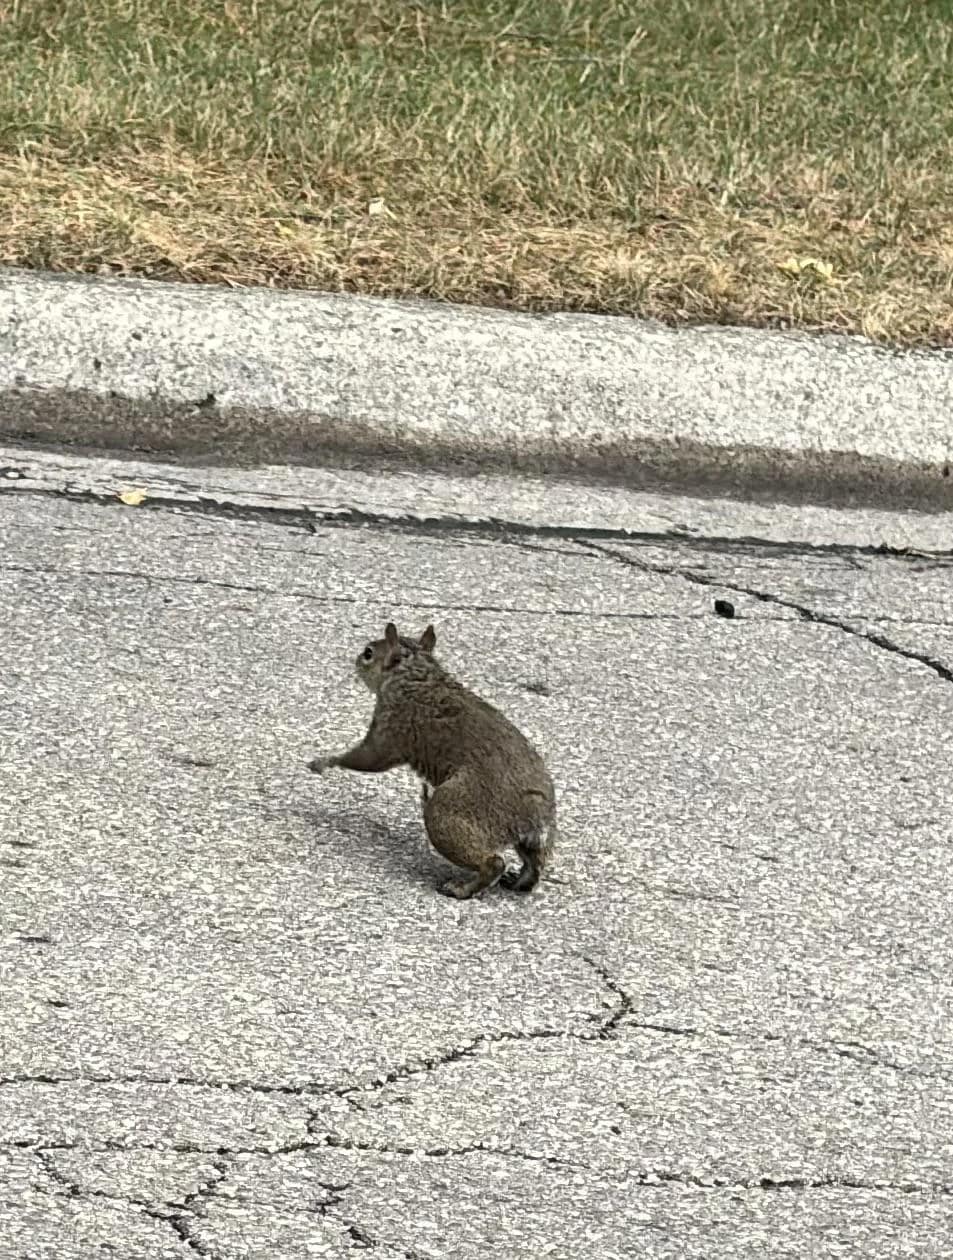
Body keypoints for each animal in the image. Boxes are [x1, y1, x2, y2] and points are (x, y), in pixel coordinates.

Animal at [307, 622, 556, 900]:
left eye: (369, 652)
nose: (357, 660)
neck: (417, 673)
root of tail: (534, 817)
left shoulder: (390, 726)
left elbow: (368, 759)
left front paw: (324, 761)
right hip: (528, 842)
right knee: (533, 866)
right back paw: (519, 882)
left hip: (448, 813)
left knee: (493, 863)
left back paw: (461, 888)